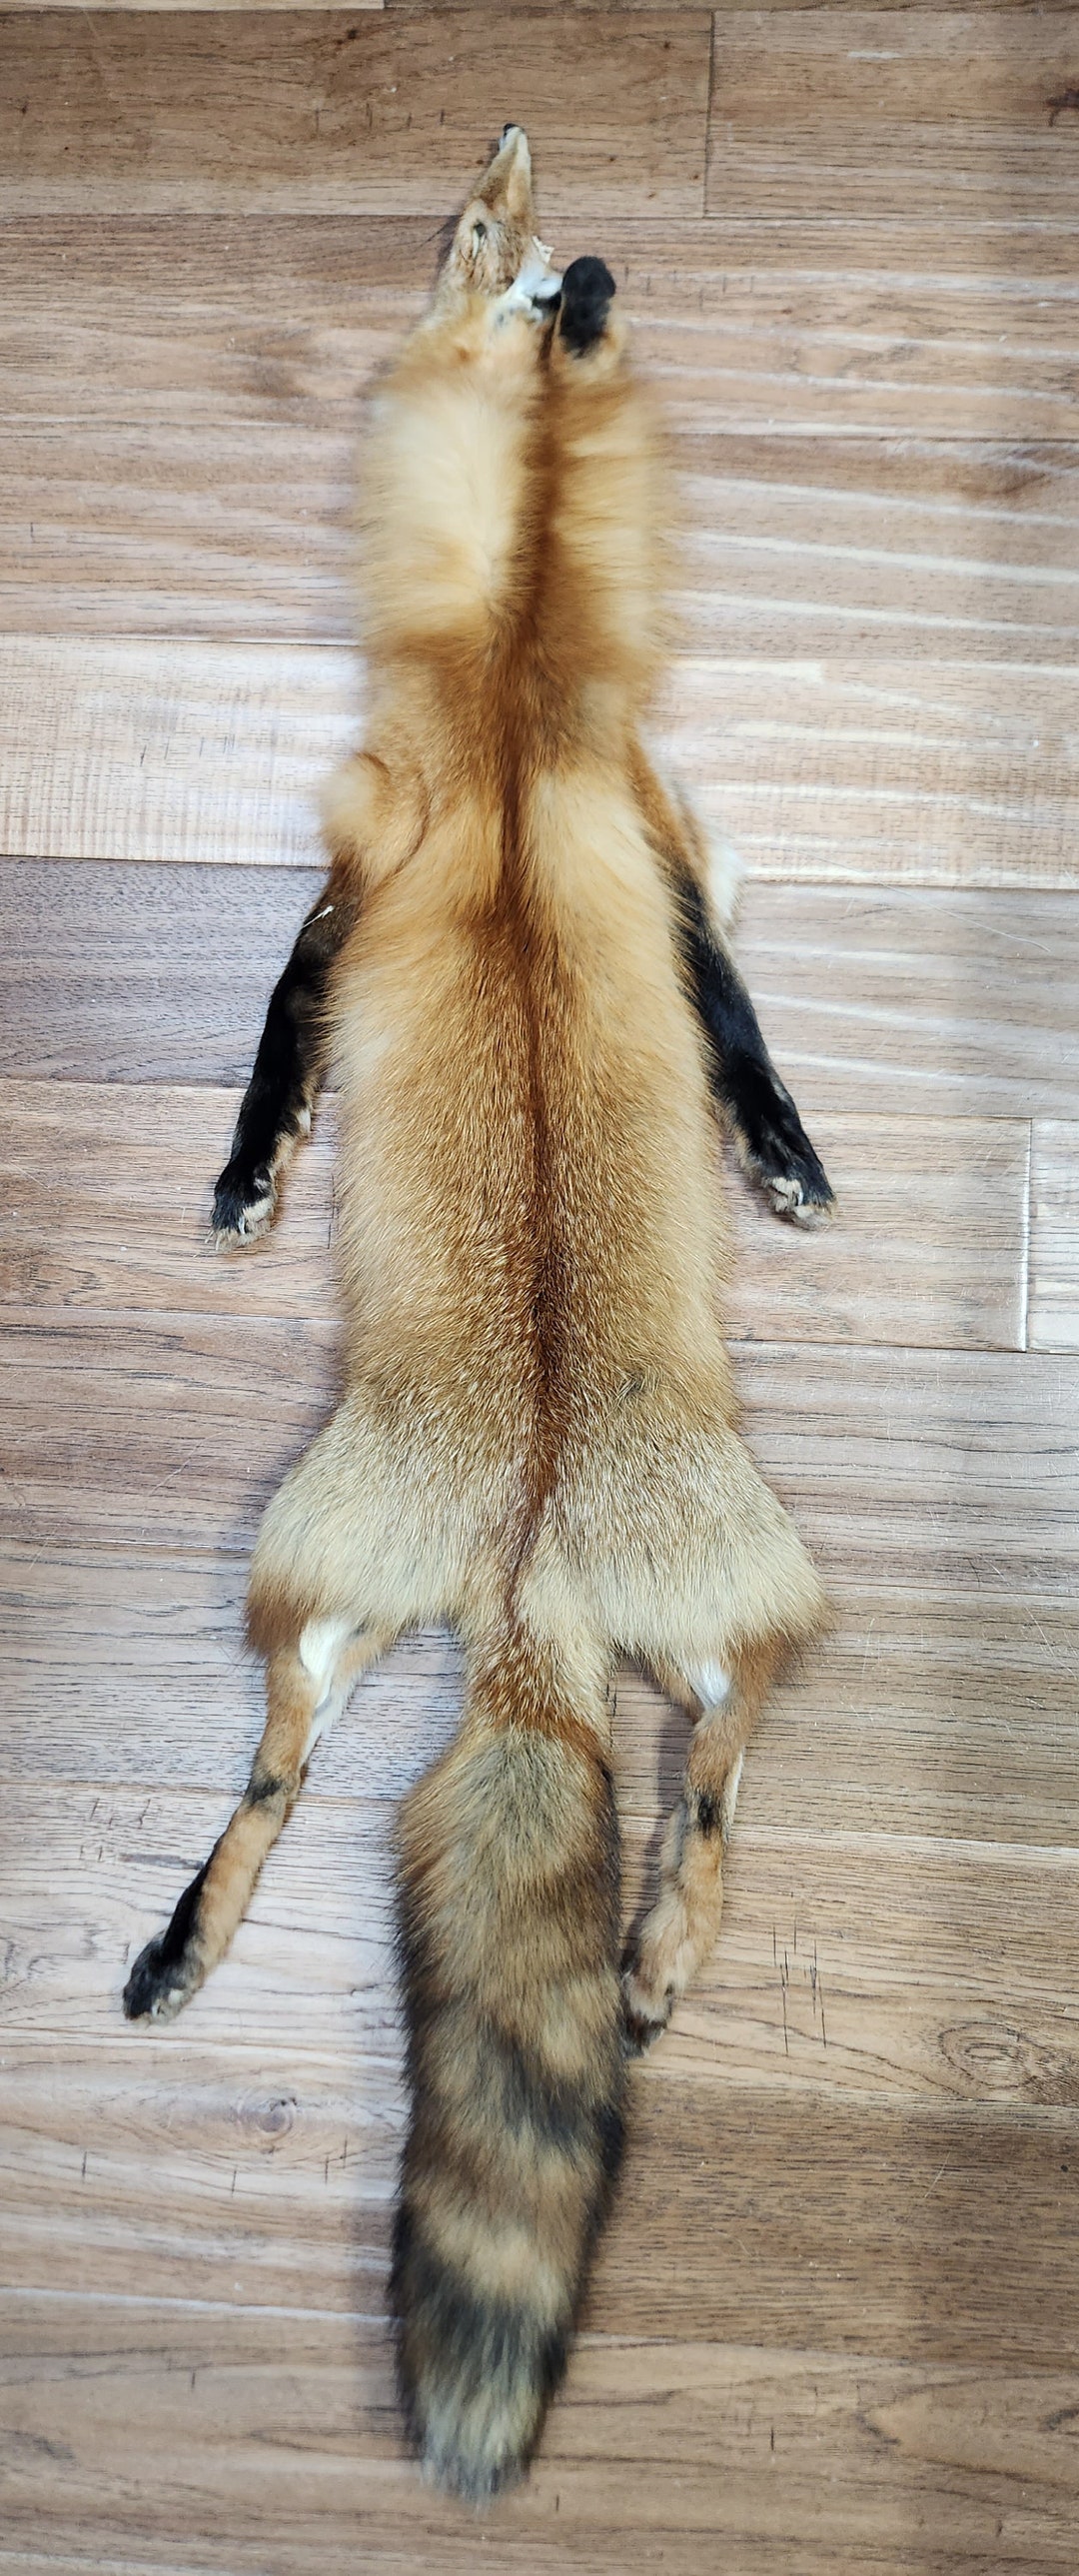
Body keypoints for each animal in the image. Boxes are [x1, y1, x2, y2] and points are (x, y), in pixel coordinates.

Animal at [122, 127, 834, 2501]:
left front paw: (779, 1149)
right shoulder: (419, 832)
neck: (522, 682)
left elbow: (730, 1016)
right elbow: (286, 1014)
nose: (581, 260)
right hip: (313, 1583)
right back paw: (191, 1944)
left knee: (721, 1767)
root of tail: (526, 1593)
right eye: (516, 292)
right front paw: (253, 1165)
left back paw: (657, 1955)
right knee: (293, 1770)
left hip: (658, 1598)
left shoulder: (629, 822)